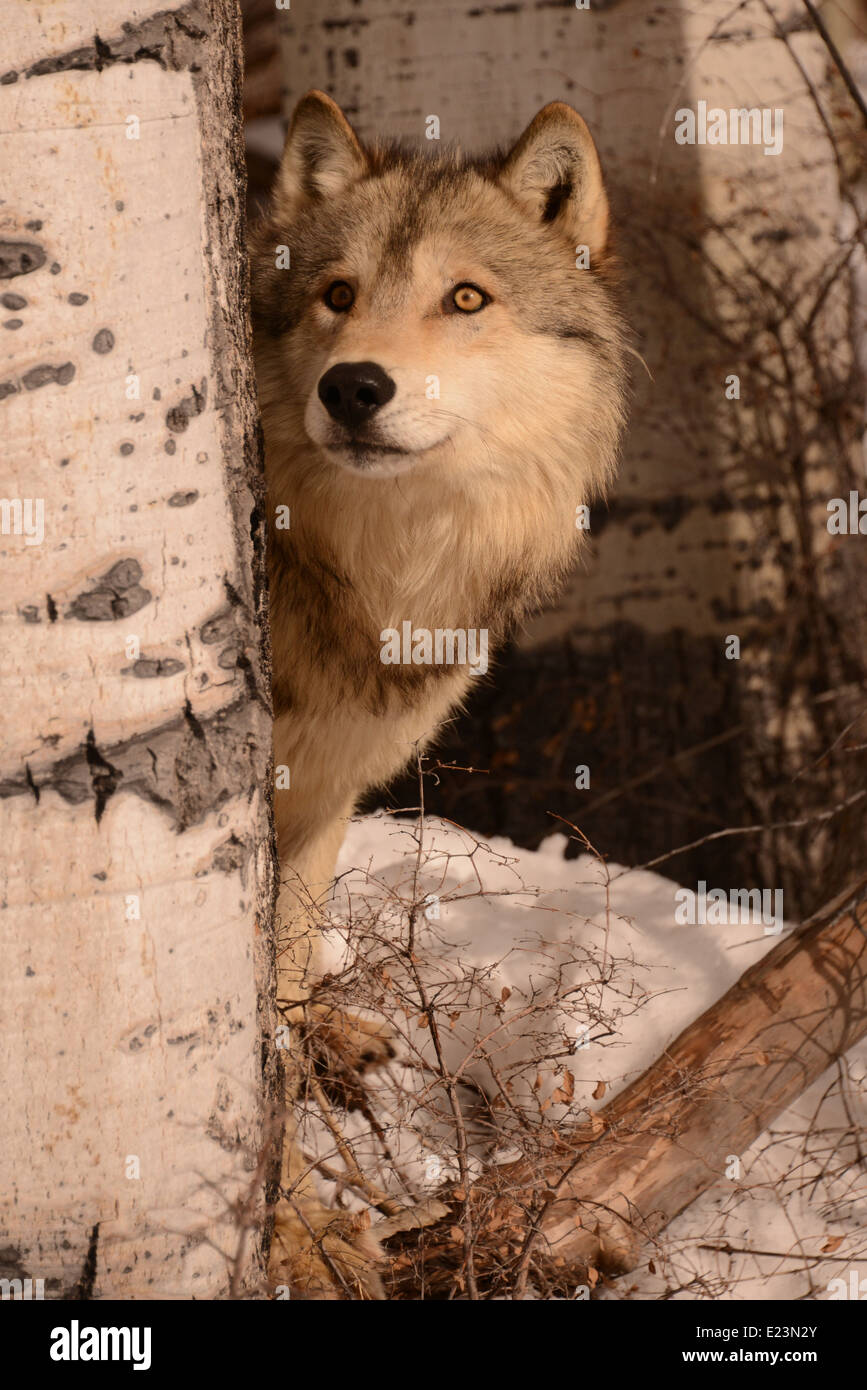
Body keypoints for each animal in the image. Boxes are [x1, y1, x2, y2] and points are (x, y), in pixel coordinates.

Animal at [249, 90, 628, 1295]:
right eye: (336, 296)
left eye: (465, 297)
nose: (352, 386)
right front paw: (300, 1238)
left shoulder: (316, 799)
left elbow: (268, 1012)